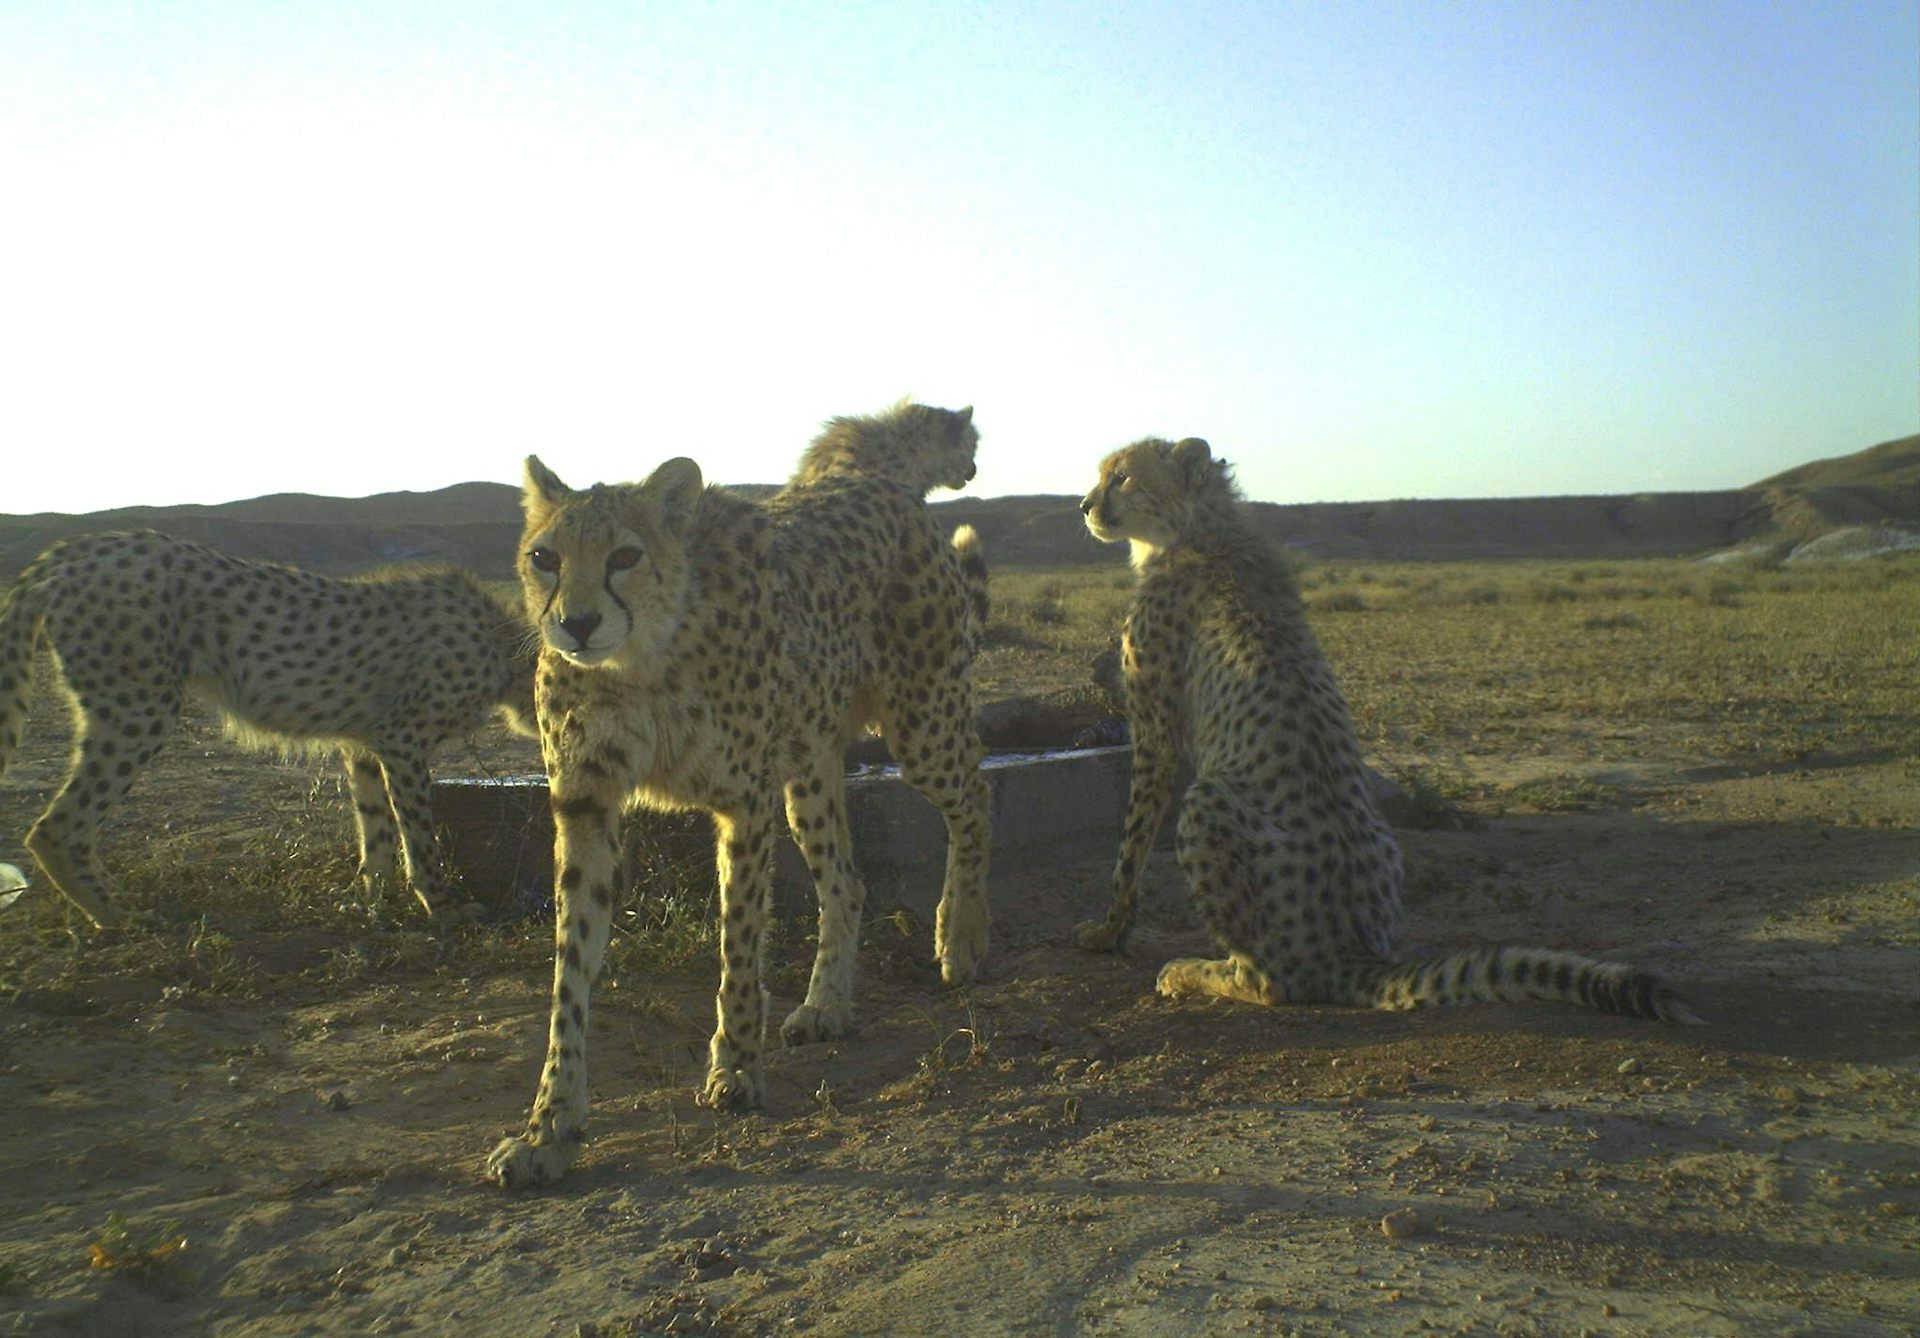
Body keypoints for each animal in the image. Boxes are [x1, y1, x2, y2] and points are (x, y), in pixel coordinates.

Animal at [0, 529, 539, 927]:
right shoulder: (401, 741)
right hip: (139, 710)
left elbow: (377, 831)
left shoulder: (366, 746)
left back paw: (115, 899)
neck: (504, 648)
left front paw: (369, 904)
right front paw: (442, 906)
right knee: (54, 826)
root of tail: (76, 548)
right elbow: (418, 835)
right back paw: (114, 916)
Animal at [486, 401, 992, 1189]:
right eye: (545, 558)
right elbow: (570, 974)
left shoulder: (742, 801)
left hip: (921, 723)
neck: (639, 662)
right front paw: (549, 1128)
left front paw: (736, 1071)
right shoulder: (585, 807)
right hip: (808, 767)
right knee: (846, 880)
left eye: (625, 555)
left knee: (976, 797)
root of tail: (869, 482)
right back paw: (825, 1003)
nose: (577, 623)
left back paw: (959, 937)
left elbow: (739, 943)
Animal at [1074, 437, 1701, 1025]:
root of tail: (1350, 953)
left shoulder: (1155, 733)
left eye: (1121, 477)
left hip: (1210, 802)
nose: (1083, 505)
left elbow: (1130, 846)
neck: (1199, 525)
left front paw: (1108, 932)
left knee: (1271, 983)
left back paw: (1195, 971)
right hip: (1384, 840)